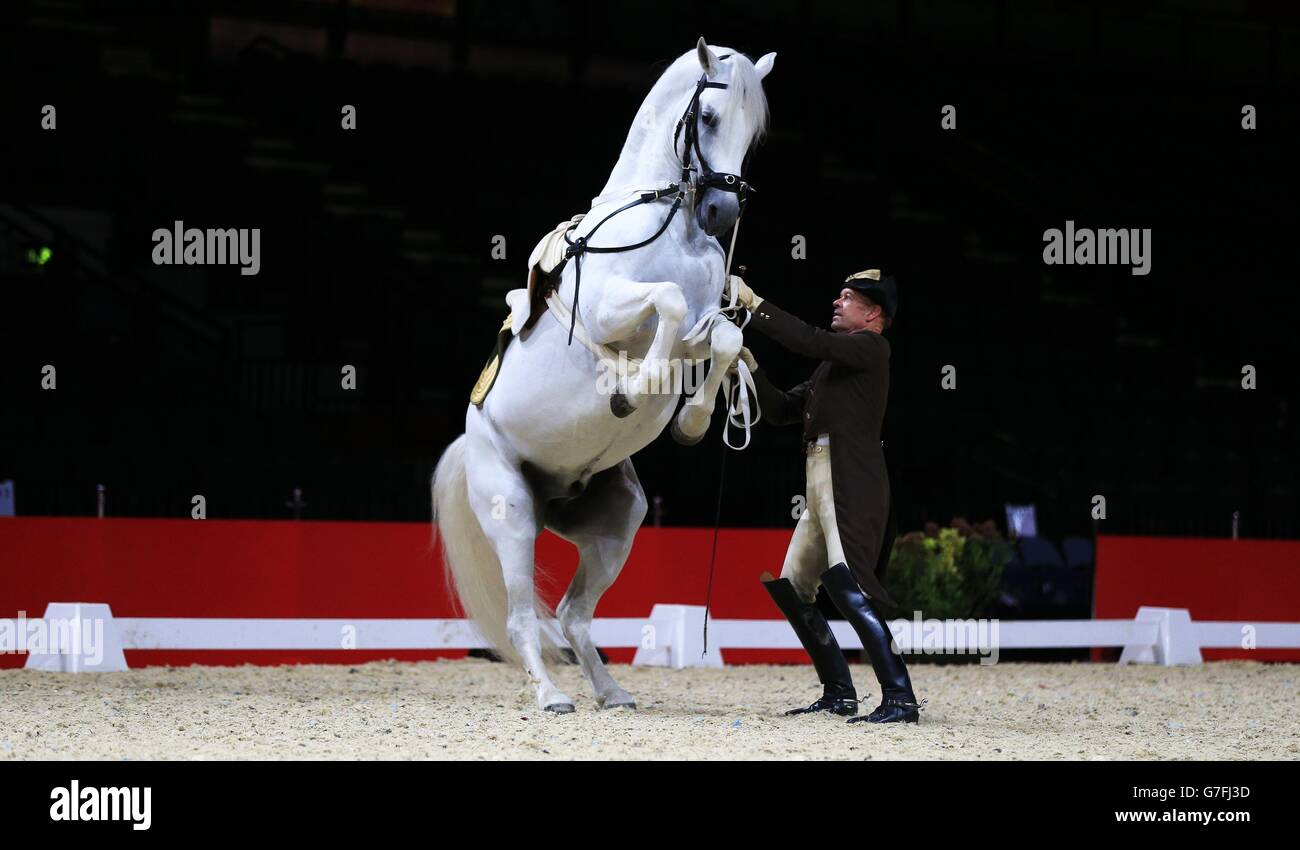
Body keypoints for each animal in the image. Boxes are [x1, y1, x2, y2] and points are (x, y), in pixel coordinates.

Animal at [432, 38, 775, 712]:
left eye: (753, 133)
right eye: (708, 117)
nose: (721, 211)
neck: (669, 223)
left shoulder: (706, 325)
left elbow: (726, 339)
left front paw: (693, 422)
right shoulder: (612, 308)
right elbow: (668, 301)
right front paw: (631, 391)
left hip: (618, 525)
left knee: (573, 615)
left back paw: (612, 691)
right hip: (512, 514)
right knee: (523, 619)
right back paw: (551, 696)